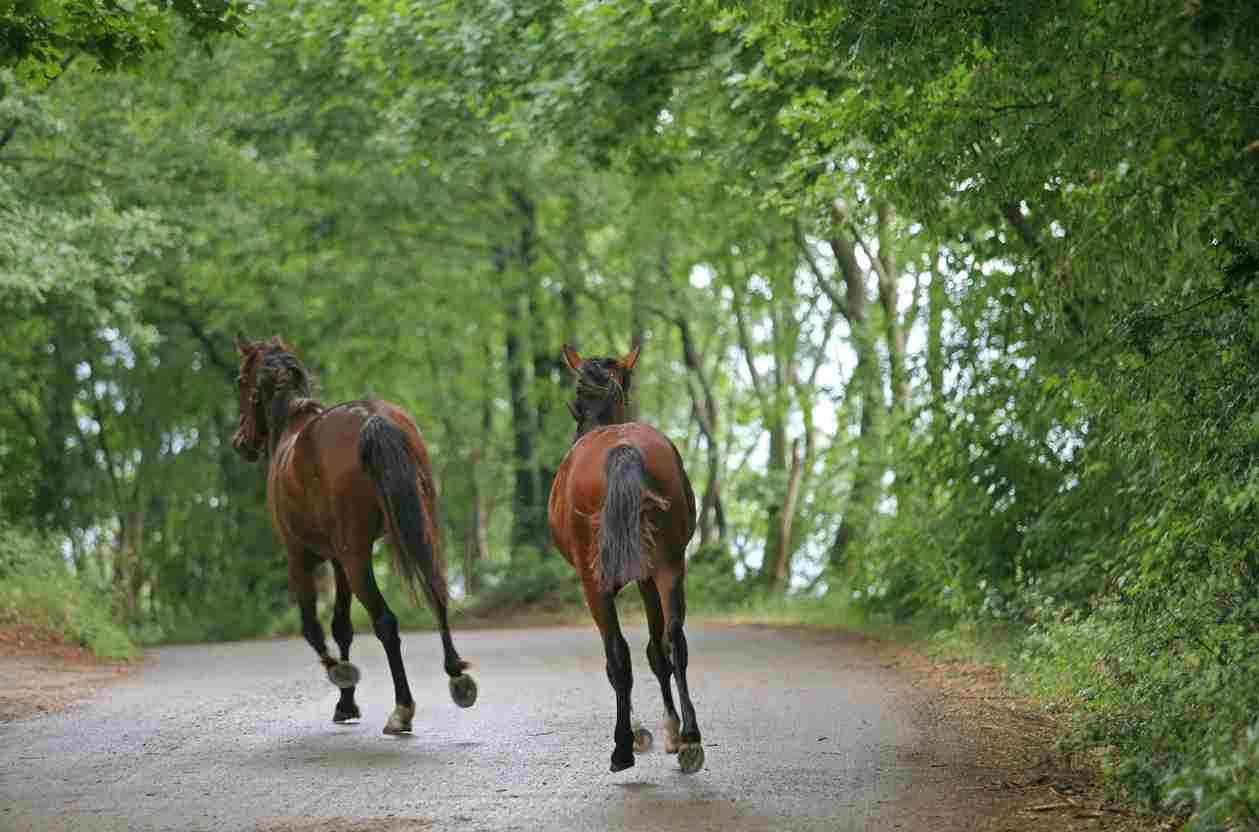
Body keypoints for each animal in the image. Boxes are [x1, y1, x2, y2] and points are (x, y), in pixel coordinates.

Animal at [230, 334, 477, 734]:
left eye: (240, 380)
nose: (241, 442)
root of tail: (372, 417)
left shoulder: (301, 556)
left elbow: (313, 627)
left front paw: (341, 674)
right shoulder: (337, 560)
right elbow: (342, 626)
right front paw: (345, 703)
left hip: (356, 555)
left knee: (385, 622)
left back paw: (402, 709)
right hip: (417, 535)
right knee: (436, 592)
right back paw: (457, 676)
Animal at [547, 344, 705, 774]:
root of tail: (621, 450)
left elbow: (619, 658)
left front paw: (640, 733)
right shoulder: (649, 575)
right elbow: (658, 649)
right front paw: (672, 731)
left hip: (596, 582)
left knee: (618, 655)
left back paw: (623, 747)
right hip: (668, 566)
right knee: (675, 641)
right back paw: (690, 739)